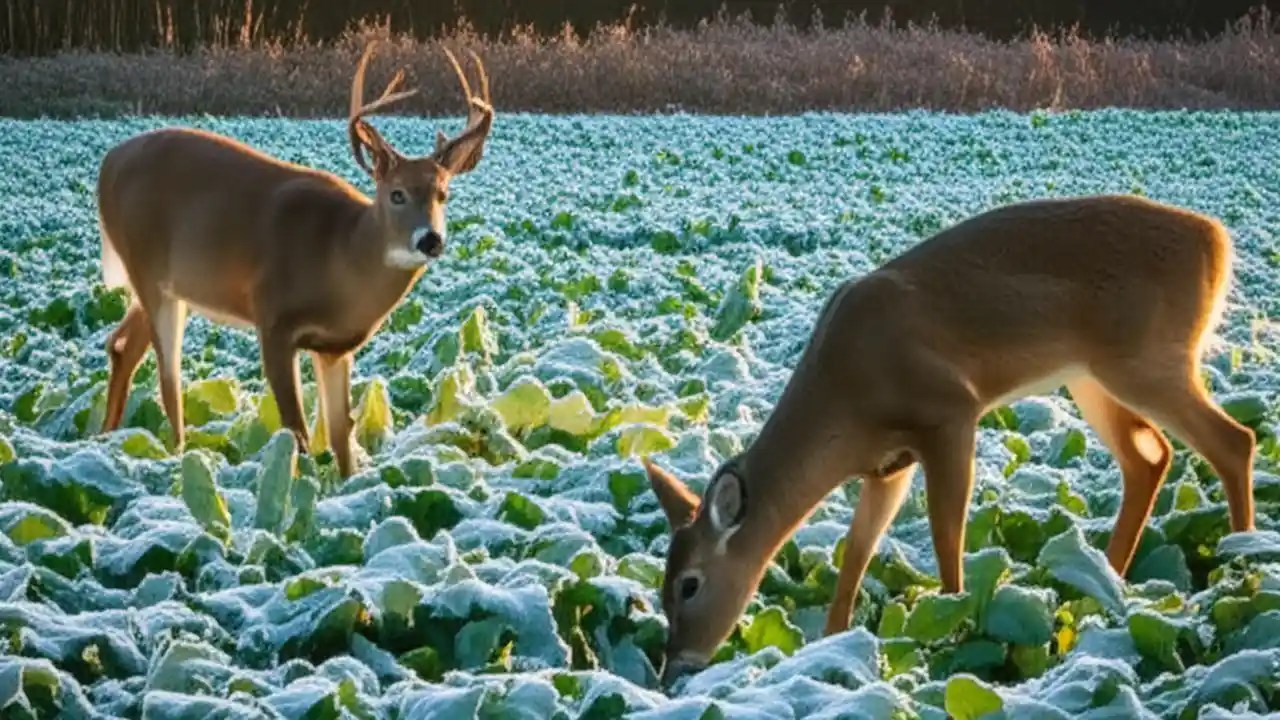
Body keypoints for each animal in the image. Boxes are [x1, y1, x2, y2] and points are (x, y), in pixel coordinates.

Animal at [95, 41, 494, 478]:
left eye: (443, 194)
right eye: (397, 194)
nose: (430, 239)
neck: (340, 255)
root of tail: (108, 164)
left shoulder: (335, 348)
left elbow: (340, 433)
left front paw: (349, 484)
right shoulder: (272, 319)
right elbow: (295, 429)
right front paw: (296, 478)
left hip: (169, 286)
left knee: (122, 345)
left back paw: (103, 440)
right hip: (146, 267)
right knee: (169, 378)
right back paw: (173, 457)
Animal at [642, 193, 1257, 686]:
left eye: (689, 586)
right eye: (661, 588)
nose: (675, 669)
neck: (847, 390)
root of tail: (1217, 239)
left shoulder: (950, 413)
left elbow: (946, 533)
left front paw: (954, 622)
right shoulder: (887, 464)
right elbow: (856, 551)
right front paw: (831, 644)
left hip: (1148, 360)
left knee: (1234, 439)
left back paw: (1241, 566)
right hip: (1091, 377)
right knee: (1148, 458)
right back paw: (1106, 579)